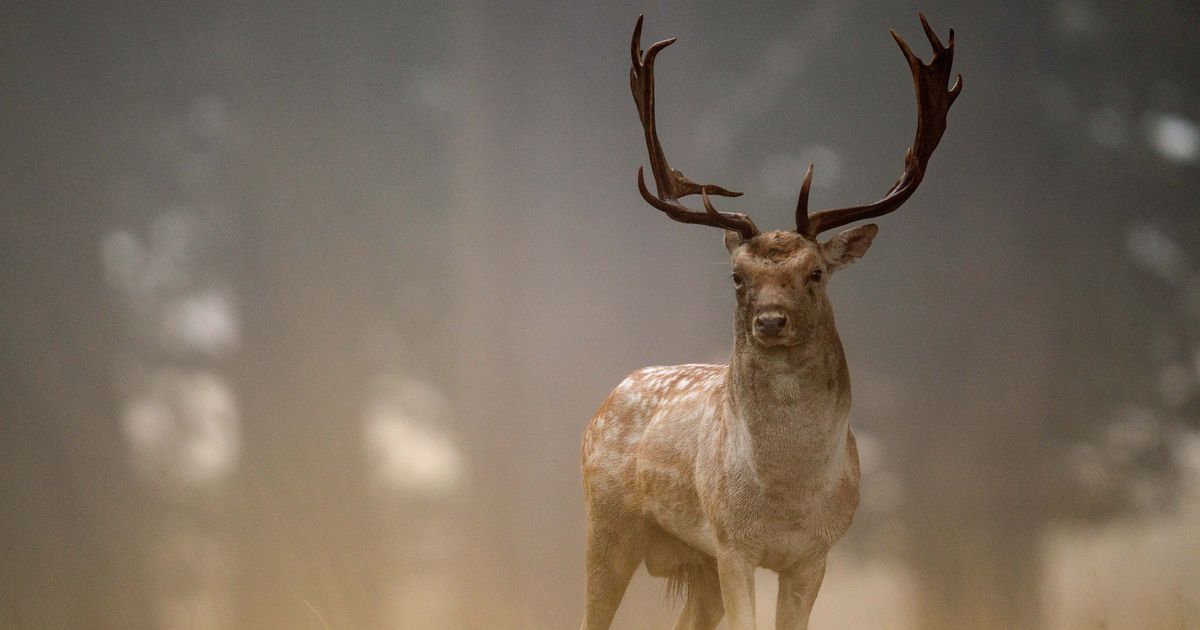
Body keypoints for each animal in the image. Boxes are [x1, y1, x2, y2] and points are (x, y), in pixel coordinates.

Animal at [580, 14, 960, 630]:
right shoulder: (732, 543)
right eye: (737, 276)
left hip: (693, 559)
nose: (772, 321)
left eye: (816, 272)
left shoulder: (815, 554)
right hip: (607, 522)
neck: (788, 499)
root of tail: (607, 400)